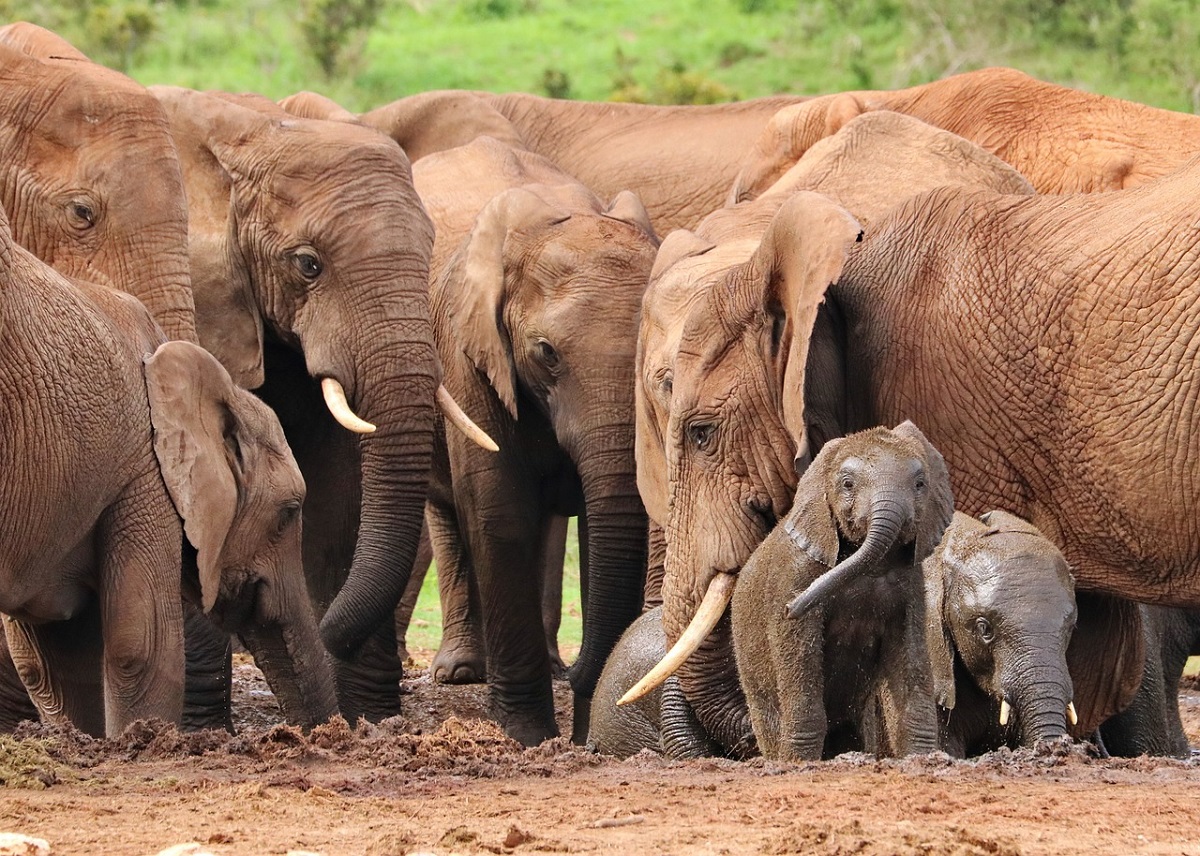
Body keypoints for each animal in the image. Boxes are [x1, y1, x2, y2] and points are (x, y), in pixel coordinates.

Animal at [151, 86, 493, 724]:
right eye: (308, 264)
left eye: (430, 254)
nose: (327, 628)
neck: (253, 132)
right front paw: (200, 729)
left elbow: (338, 490)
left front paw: (366, 720)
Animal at [412, 136, 659, 744]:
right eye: (546, 352)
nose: (582, 674)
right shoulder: (467, 353)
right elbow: (498, 512)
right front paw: (527, 736)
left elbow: (601, 525)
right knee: (448, 512)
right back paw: (460, 672)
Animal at [730, 422, 949, 761]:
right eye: (847, 484)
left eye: (920, 484)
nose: (792, 608)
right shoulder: (794, 576)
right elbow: (801, 665)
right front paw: (798, 763)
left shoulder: (912, 589)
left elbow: (911, 664)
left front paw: (921, 758)